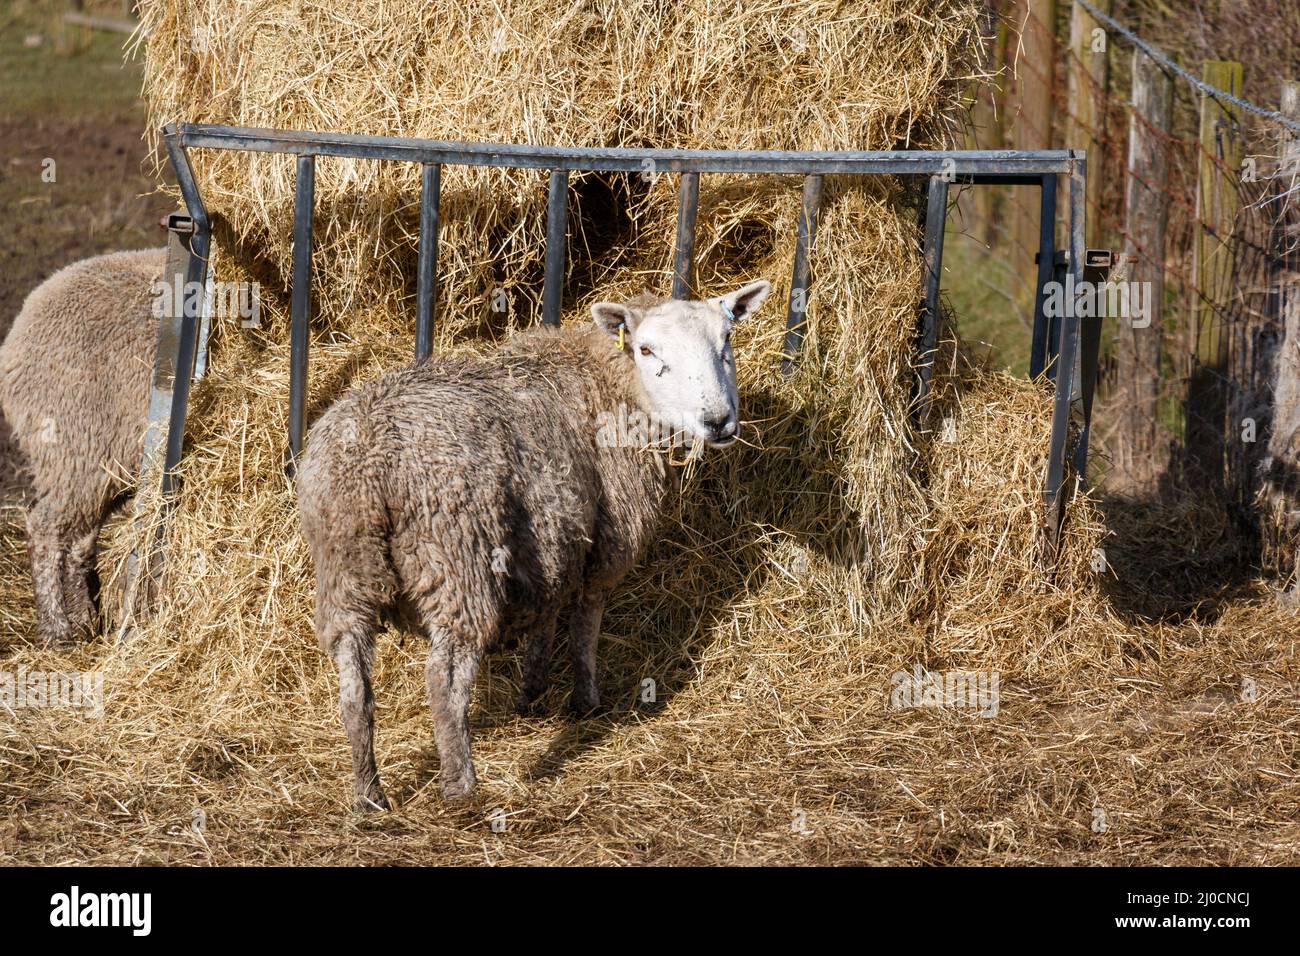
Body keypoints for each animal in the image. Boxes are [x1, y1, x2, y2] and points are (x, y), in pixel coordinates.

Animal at [0, 248, 167, 645]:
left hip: (107, 461)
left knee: (79, 540)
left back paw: (85, 620)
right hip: (76, 449)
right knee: (45, 530)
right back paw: (57, 630)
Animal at [297, 279, 772, 810]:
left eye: (727, 342)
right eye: (648, 350)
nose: (719, 421)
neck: (612, 383)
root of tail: (370, 463)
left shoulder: (548, 540)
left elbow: (546, 613)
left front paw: (532, 693)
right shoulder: (607, 539)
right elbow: (585, 621)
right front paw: (584, 701)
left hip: (345, 571)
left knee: (353, 685)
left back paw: (367, 791)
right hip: (458, 560)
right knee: (444, 681)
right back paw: (460, 786)